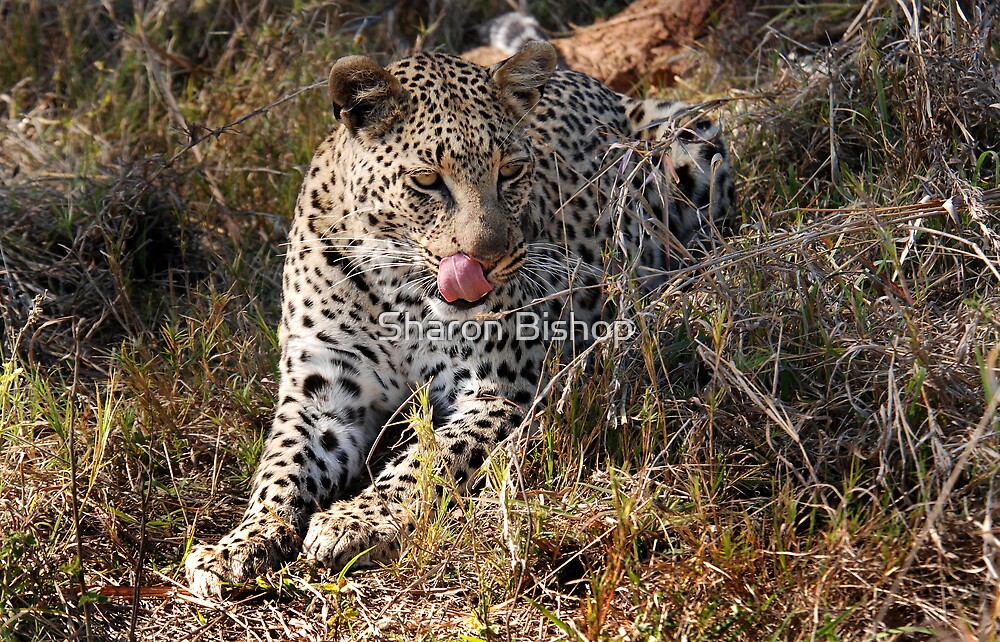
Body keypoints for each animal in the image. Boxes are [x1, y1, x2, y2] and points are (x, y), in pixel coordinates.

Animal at [185, 40, 734, 597]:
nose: (485, 260)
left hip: (692, 129)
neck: (402, 294)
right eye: (427, 180)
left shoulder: (508, 390)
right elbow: (284, 463)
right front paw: (241, 542)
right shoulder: (321, 389)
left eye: (510, 172)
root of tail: (593, 81)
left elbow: (431, 457)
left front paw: (354, 520)